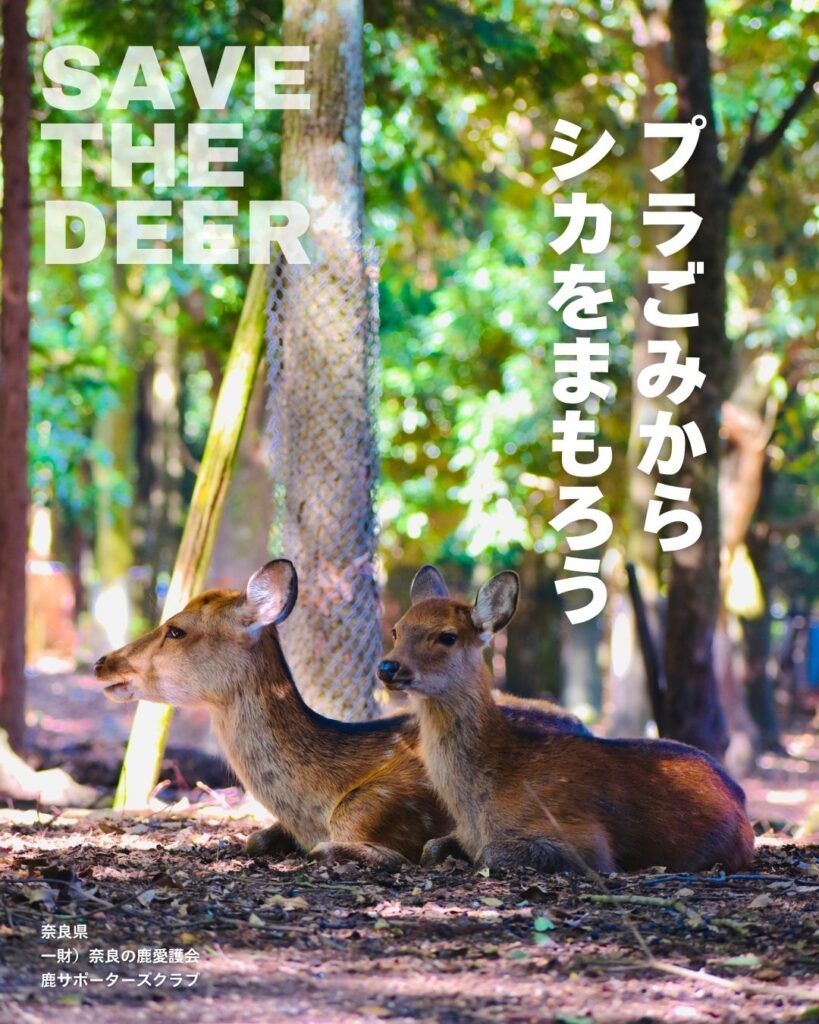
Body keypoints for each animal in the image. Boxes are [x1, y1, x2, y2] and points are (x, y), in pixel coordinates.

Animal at [95, 559, 589, 868]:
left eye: (177, 629)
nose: (103, 662)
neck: (316, 806)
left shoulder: (368, 815)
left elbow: (337, 849)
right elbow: (255, 837)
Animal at [378, 566, 756, 875]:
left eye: (447, 636)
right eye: (396, 630)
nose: (387, 666)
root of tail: (741, 797)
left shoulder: (584, 838)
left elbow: (489, 854)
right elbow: (431, 846)